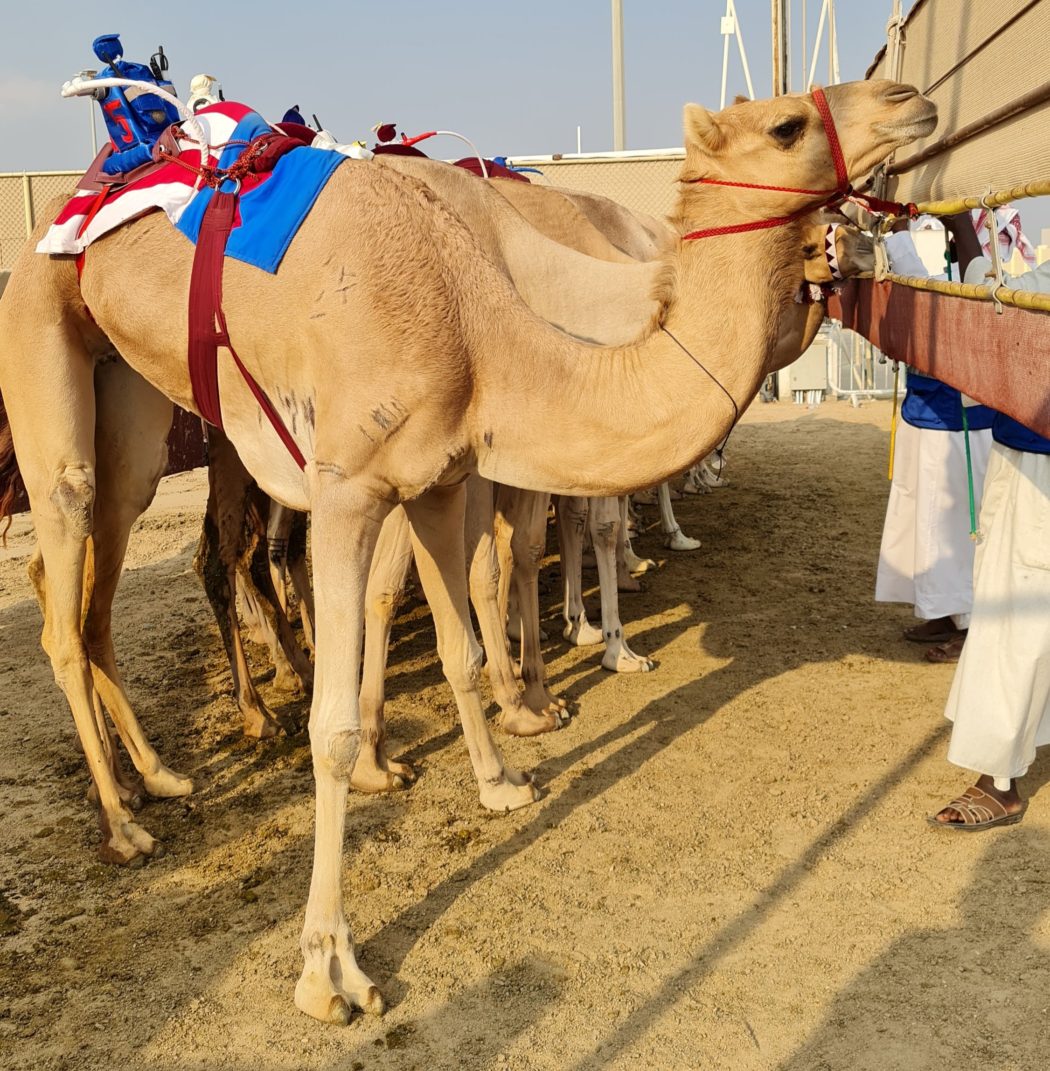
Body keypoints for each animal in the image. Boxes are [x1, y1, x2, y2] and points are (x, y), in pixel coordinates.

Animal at [0, 80, 934, 1022]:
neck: (483, 325)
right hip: (41, 335)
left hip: (132, 406)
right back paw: (125, 822)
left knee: (95, 577)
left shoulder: (440, 479)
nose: (911, 100)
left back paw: (158, 777)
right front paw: (329, 964)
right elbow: (338, 719)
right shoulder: (348, 486)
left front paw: (501, 779)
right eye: (786, 124)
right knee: (72, 572)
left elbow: (460, 643)